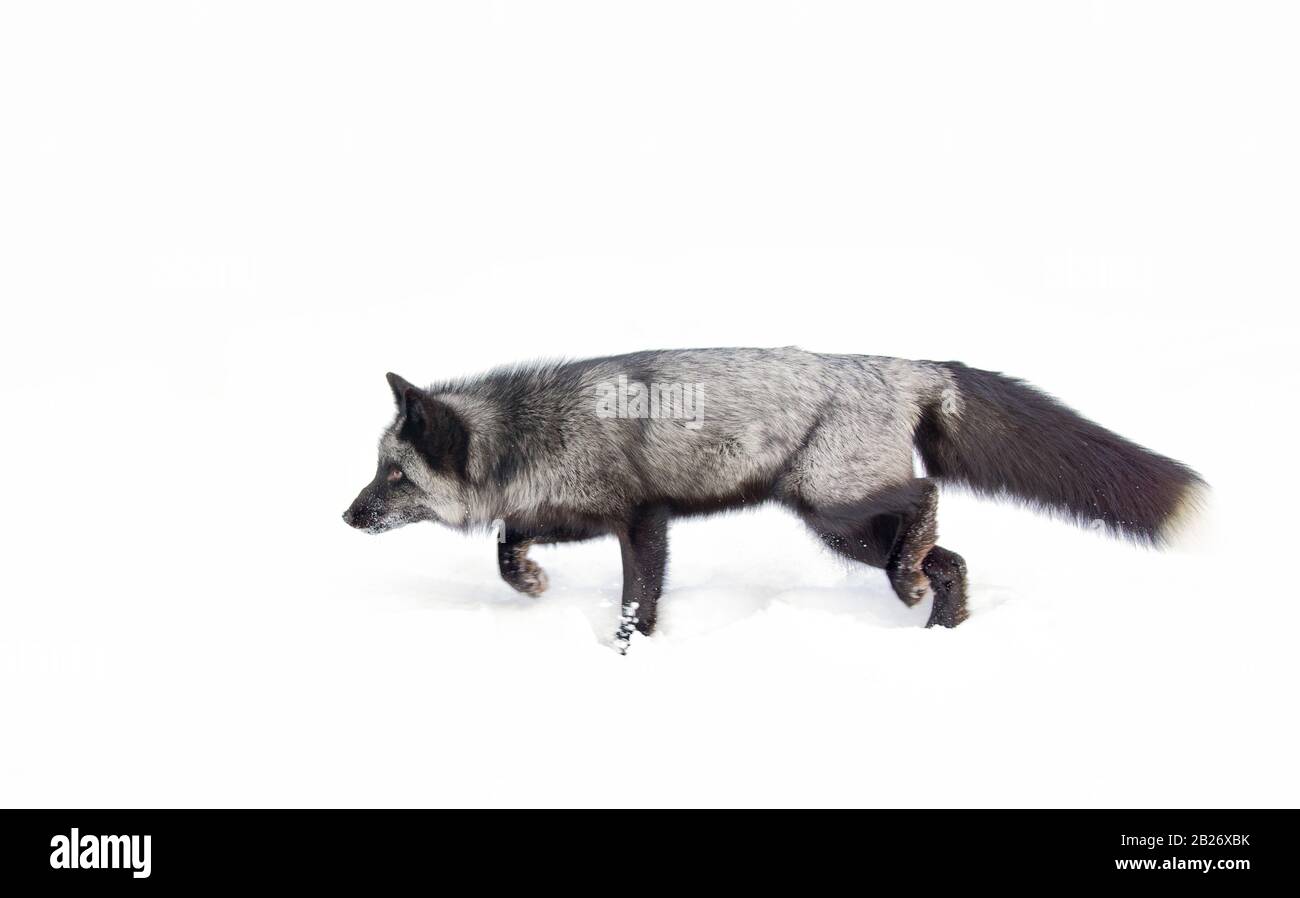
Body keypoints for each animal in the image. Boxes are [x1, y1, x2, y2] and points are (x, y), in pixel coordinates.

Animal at [343, 347, 1205, 650]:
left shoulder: (642, 520)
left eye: (396, 476)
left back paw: (917, 589)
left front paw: (631, 656)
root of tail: (909, 368)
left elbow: (637, 602)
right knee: (949, 558)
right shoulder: (583, 512)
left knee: (927, 495)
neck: (530, 431)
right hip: (849, 527)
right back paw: (937, 629)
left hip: (833, 507)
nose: (347, 515)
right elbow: (506, 540)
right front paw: (526, 581)